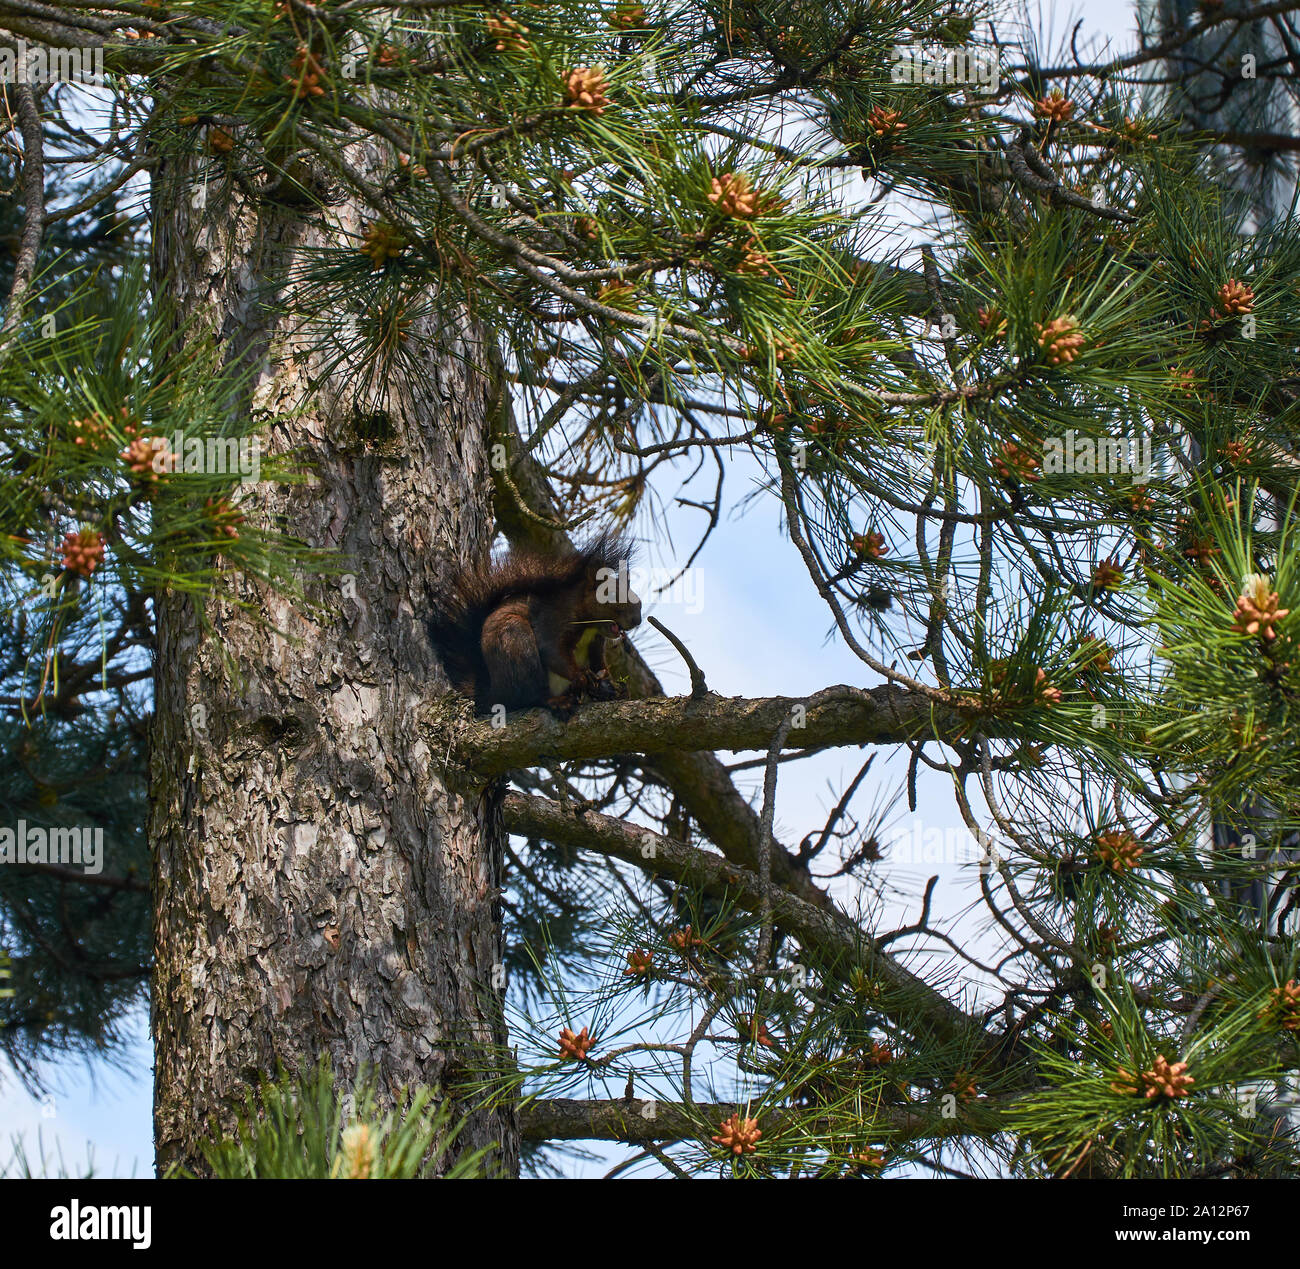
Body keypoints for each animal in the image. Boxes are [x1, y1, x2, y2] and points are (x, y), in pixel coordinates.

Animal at [428, 533, 642, 714]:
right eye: (610, 594)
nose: (638, 618)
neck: (589, 627)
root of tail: (493, 694)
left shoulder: (596, 643)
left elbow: (600, 664)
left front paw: (613, 686)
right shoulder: (553, 618)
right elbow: (552, 650)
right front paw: (580, 676)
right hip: (515, 640)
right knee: (529, 695)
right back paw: (556, 701)